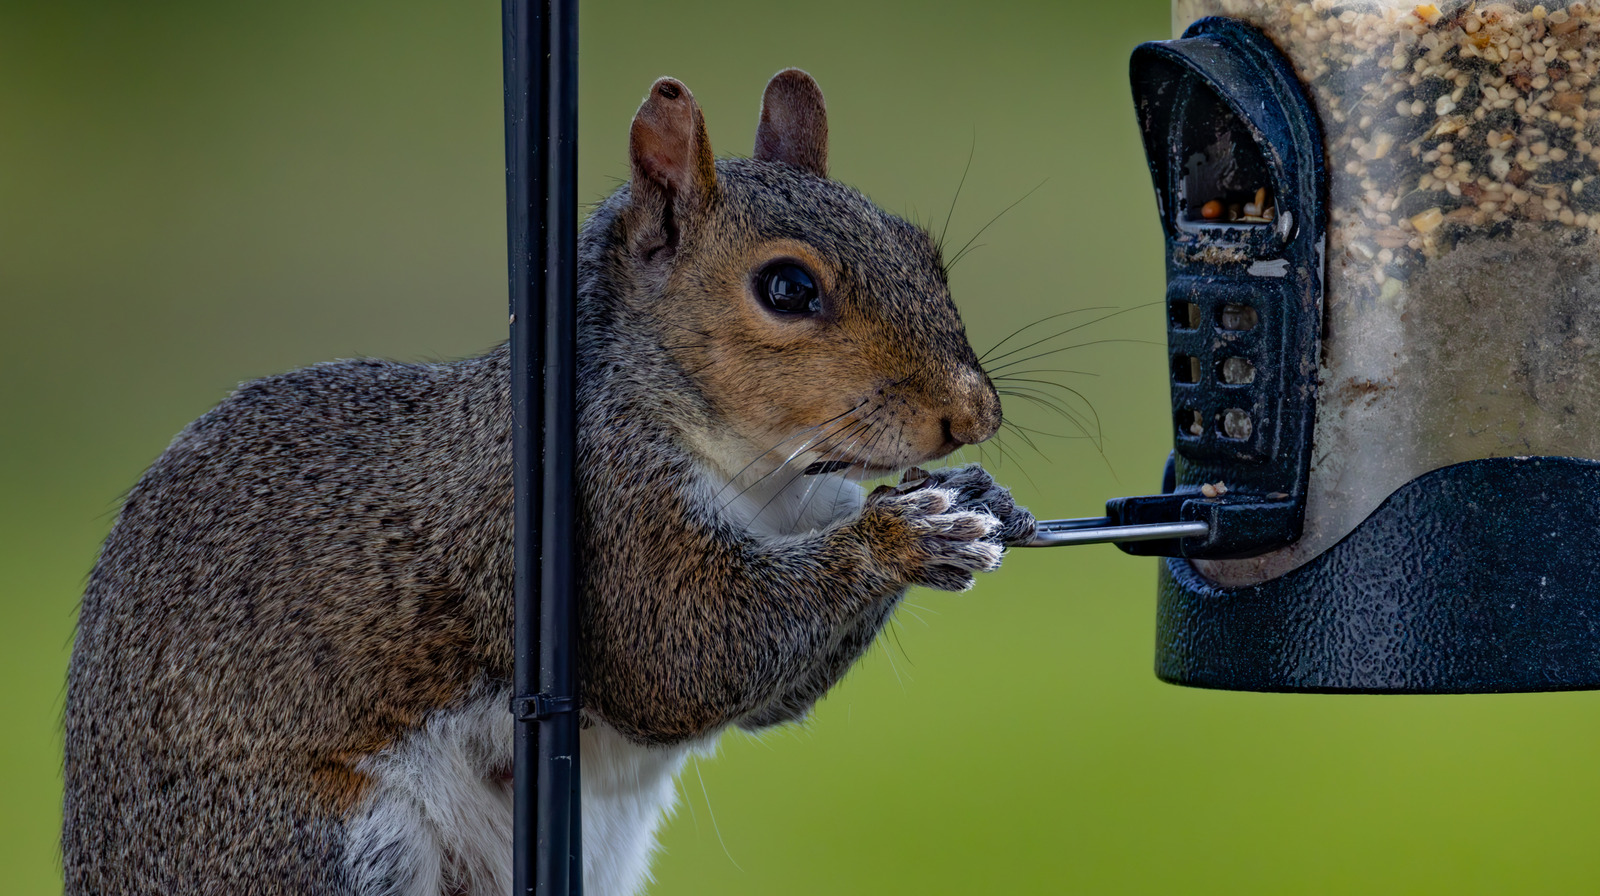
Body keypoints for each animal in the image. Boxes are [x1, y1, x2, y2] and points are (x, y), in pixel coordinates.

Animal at [62, 69, 1036, 896]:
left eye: (923, 249)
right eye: (788, 288)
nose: (972, 414)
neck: (771, 480)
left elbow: (765, 689)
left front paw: (980, 497)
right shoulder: (597, 510)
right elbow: (682, 653)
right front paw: (906, 535)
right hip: (311, 845)